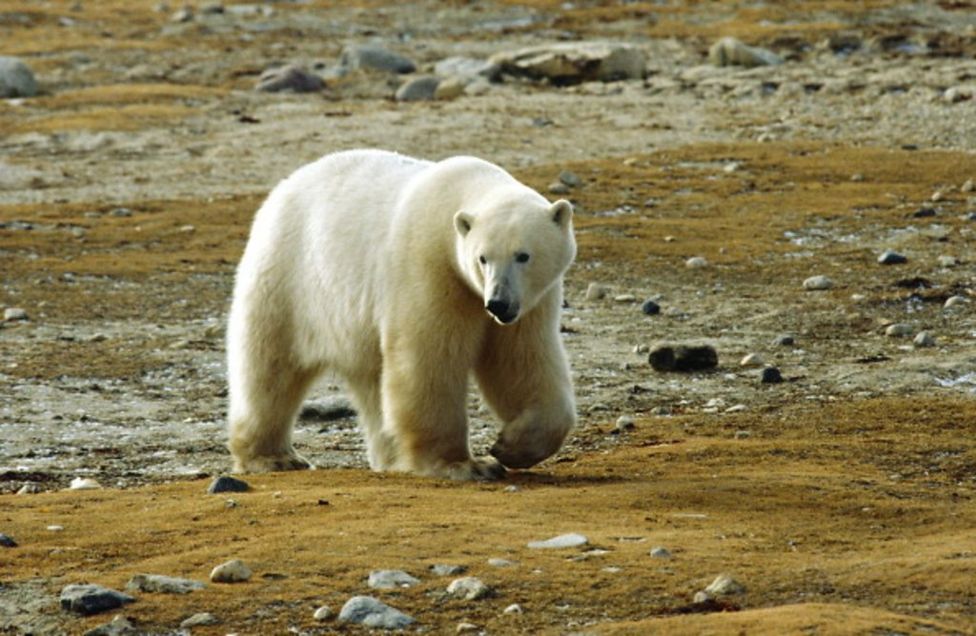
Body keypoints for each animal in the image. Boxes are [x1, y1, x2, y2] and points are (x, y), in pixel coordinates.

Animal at [226, 149, 577, 480]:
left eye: (523, 255)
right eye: (482, 258)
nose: (498, 303)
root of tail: (281, 190)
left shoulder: (530, 303)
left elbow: (521, 361)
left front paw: (511, 447)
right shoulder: (430, 267)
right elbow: (428, 359)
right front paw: (465, 465)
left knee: (371, 382)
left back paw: (391, 457)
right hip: (289, 280)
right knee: (270, 367)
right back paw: (274, 457)